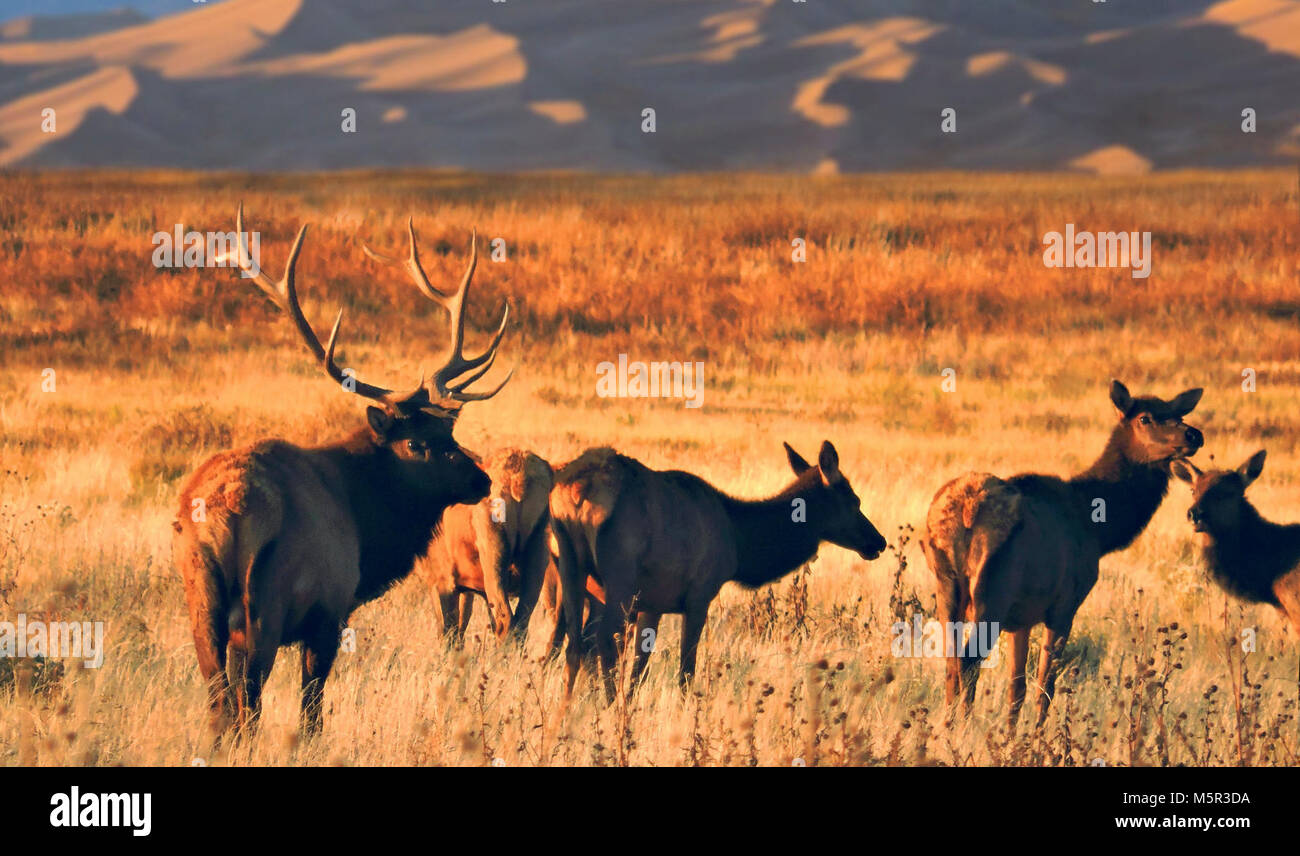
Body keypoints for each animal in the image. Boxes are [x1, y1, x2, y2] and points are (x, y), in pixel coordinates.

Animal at [173, 205, 512, 738]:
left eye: (449, 433)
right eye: (417, 442)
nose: (482, 480)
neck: (365, 525)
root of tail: (222, 514)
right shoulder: (329, 611)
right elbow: (312, 710)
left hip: (200, 605)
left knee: (218, 703)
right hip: (263, 608)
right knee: (247, 705)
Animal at [417, 448, 554, 643]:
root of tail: (518, 478)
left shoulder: (441, 582)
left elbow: (448, 634)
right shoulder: (467, 589)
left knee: (505, 622)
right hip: (537, 559)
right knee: (520, 624)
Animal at [549, 441, 887, 703]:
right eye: (854, 500)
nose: (879, 541)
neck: (739, 544)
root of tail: (577, 491)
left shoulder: (652, 604)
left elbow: (638, 672)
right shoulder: (699, 595)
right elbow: (686, 671)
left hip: (569, 565)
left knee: (575, 644)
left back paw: (566, 716)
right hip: (620, 576)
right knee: (602, 641)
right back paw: (605, 710)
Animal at [922, 380, 1203, 727]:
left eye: (1179, 413)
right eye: (1145, 418)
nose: (1193, 435)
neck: (1100, 530)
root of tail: (966, 509)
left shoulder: (1022, 617)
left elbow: (1016, 688)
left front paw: (1010, 733)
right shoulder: (1065, 604)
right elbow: (1045, 687)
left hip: (946, 586)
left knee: (951, 663)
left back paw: (947, 727)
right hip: (992, 591)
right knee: (969, 662)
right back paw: (963, 728)